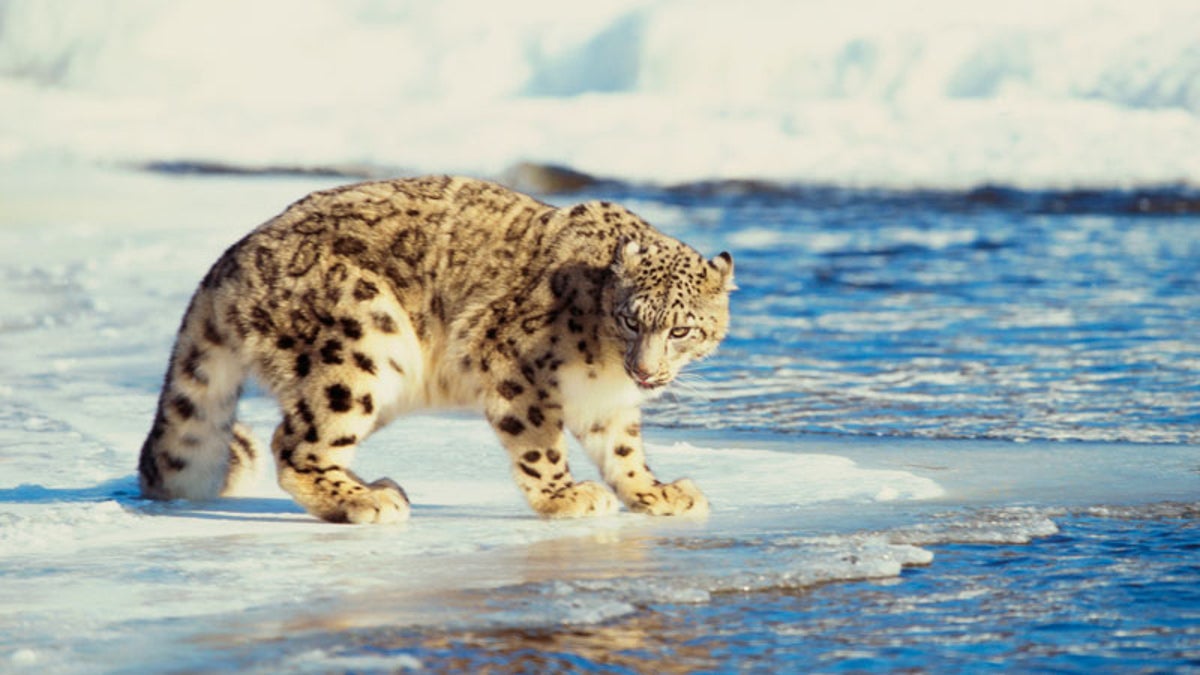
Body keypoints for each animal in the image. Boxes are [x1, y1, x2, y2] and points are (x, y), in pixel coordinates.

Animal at [137, 176, 734, 524]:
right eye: (631, 319)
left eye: (681, 330)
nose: (645, 372)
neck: (606, 367)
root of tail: (233, 255)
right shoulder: (510, 363)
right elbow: (540, 444)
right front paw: (564, 497)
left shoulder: (608, 404)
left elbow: (624, 451)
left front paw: (657, 493)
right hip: (358, 346)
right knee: (296, 444)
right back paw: (364, 500)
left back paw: (370, 485)